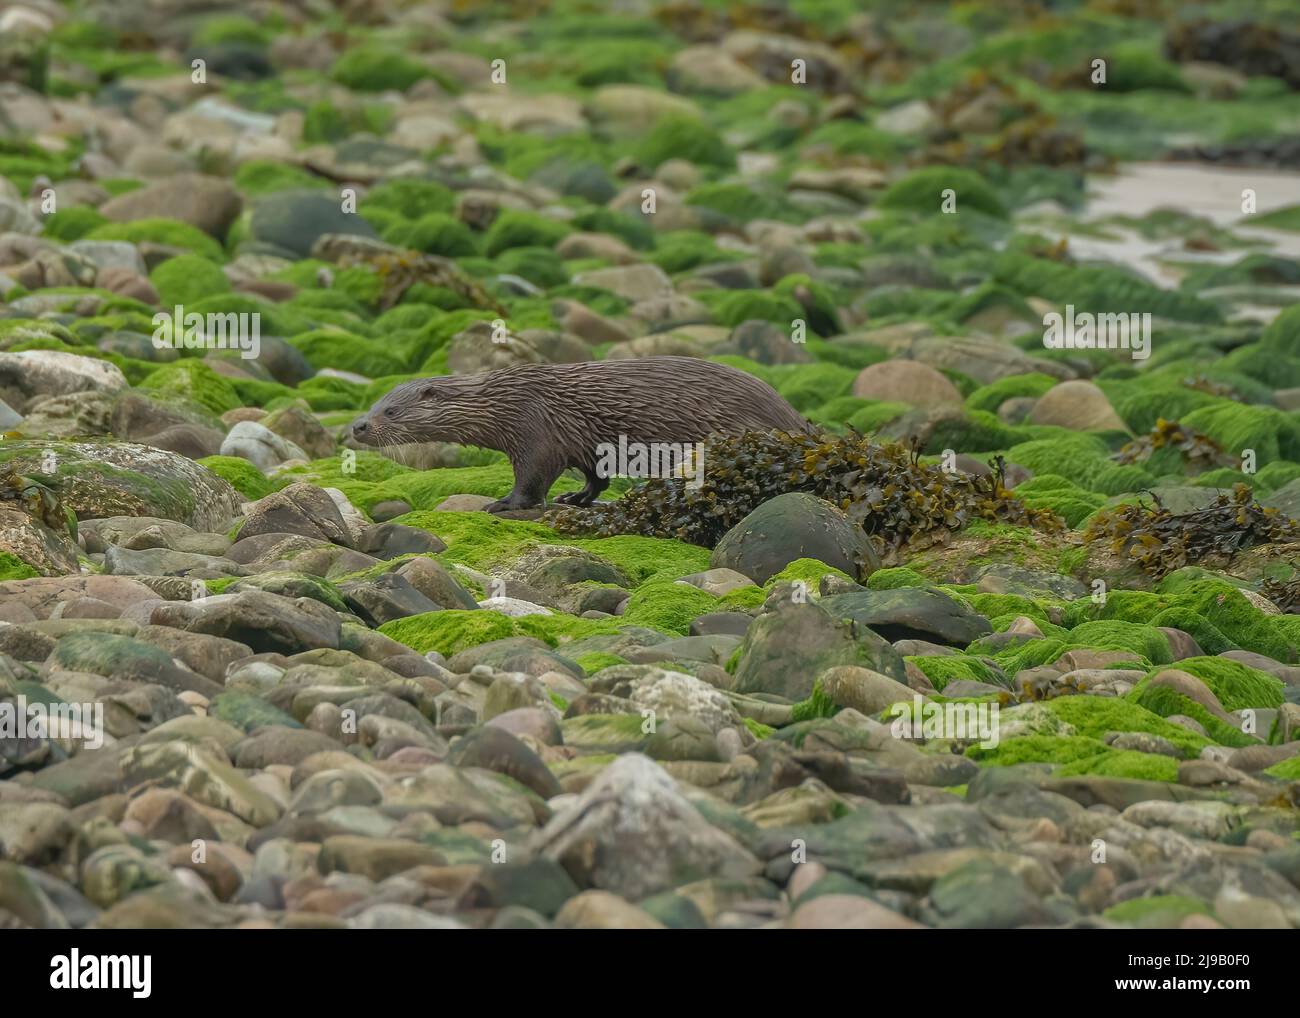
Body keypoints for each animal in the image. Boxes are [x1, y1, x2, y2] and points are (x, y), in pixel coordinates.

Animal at [350, 356, 812, 512]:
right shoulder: (584, 447)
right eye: (372, 404)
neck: (505, 403)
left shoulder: (536, 432)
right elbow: (595, 478)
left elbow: (532, 480)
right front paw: (574, 499)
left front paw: (503, 504)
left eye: (390, 410)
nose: (358, 425)